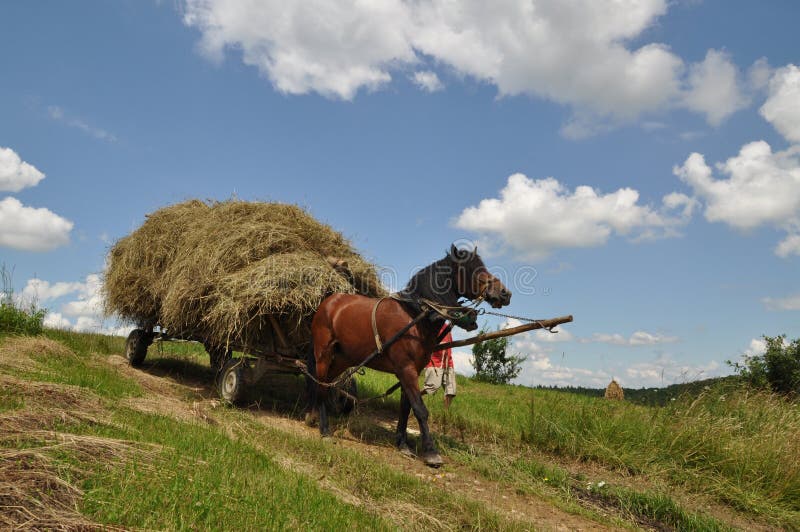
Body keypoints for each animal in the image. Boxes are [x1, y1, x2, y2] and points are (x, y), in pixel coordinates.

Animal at [309, 244, 512, 466]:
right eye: (474, 269)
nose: (505, 293)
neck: (415, 315)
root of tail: (329, 301)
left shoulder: (412, 370)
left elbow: (406, 408)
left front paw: (403, 444)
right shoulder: (405, 369)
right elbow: (420, 409)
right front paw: (430, 451)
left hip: (343, 358)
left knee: (326, 384)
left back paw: (314, 416)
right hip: (323, 354)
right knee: (321, 384)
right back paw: (324, 429)